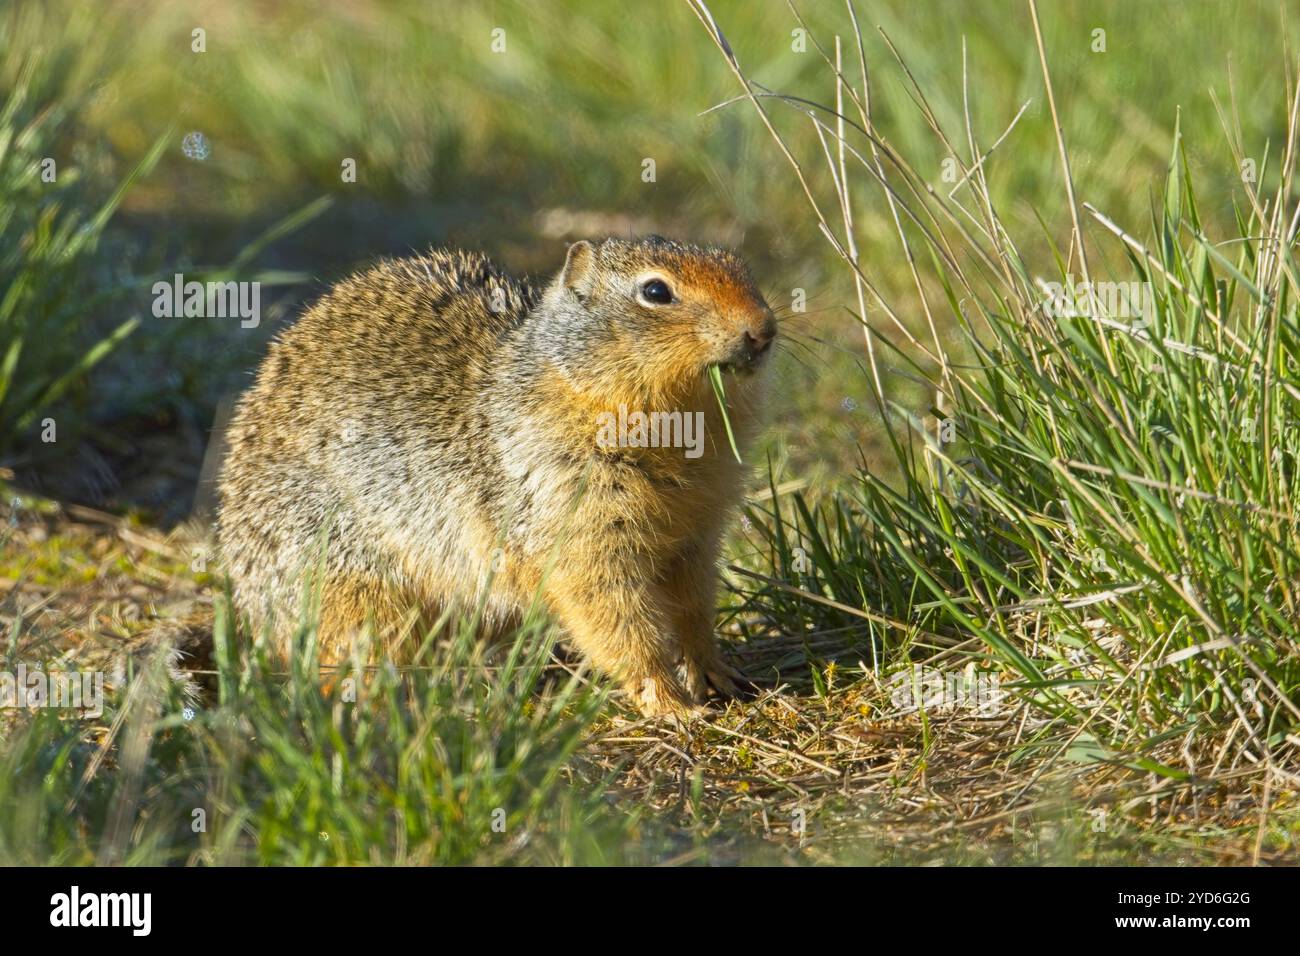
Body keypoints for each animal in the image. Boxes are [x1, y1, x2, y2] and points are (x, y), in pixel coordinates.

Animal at [216, 235, 777, 716]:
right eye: (656, 291)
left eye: (744, 269)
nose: (764, 329)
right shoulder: (576, 529)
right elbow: (616, 619)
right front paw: (670, 702)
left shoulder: (698, 533)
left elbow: (693, 608)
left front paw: (717, 673)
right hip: (346, 583)